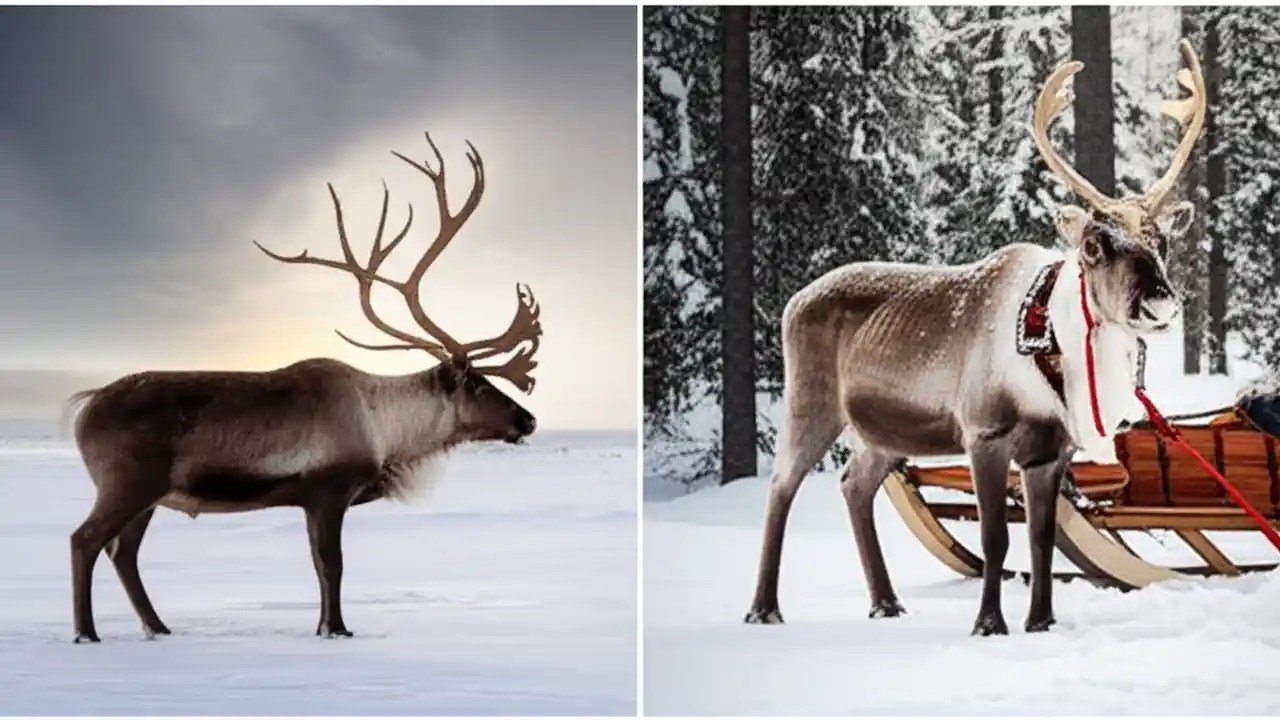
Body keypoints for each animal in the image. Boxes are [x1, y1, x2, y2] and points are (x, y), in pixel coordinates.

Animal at [66, 134, 542, 643]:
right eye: (479, 385)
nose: (529, 419)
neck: (383, 427)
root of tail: (85, 406)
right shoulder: (327, 491)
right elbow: (331, 565)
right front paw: (336, 628)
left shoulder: (315, 499)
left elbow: (319, 565)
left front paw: (323, 626)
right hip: (127, 483)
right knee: (85, 540)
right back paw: (86, 633)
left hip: (148, 496)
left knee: (123, 552)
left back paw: (158, 627)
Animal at [744, 39, 1205, 635]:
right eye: (1094, 246)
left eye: (1162, 241)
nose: (1159, 302)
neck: (1053, 358)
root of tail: (794, 300)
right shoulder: (984, 432)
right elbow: (995, 538)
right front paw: (989, 623)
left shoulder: (1050, 450)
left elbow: (1040, 539)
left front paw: (1041, 622)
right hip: (811, 402)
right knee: (781, 486)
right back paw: (764, 608)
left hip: (882, 435)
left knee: (853, 483)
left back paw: (886, 602)